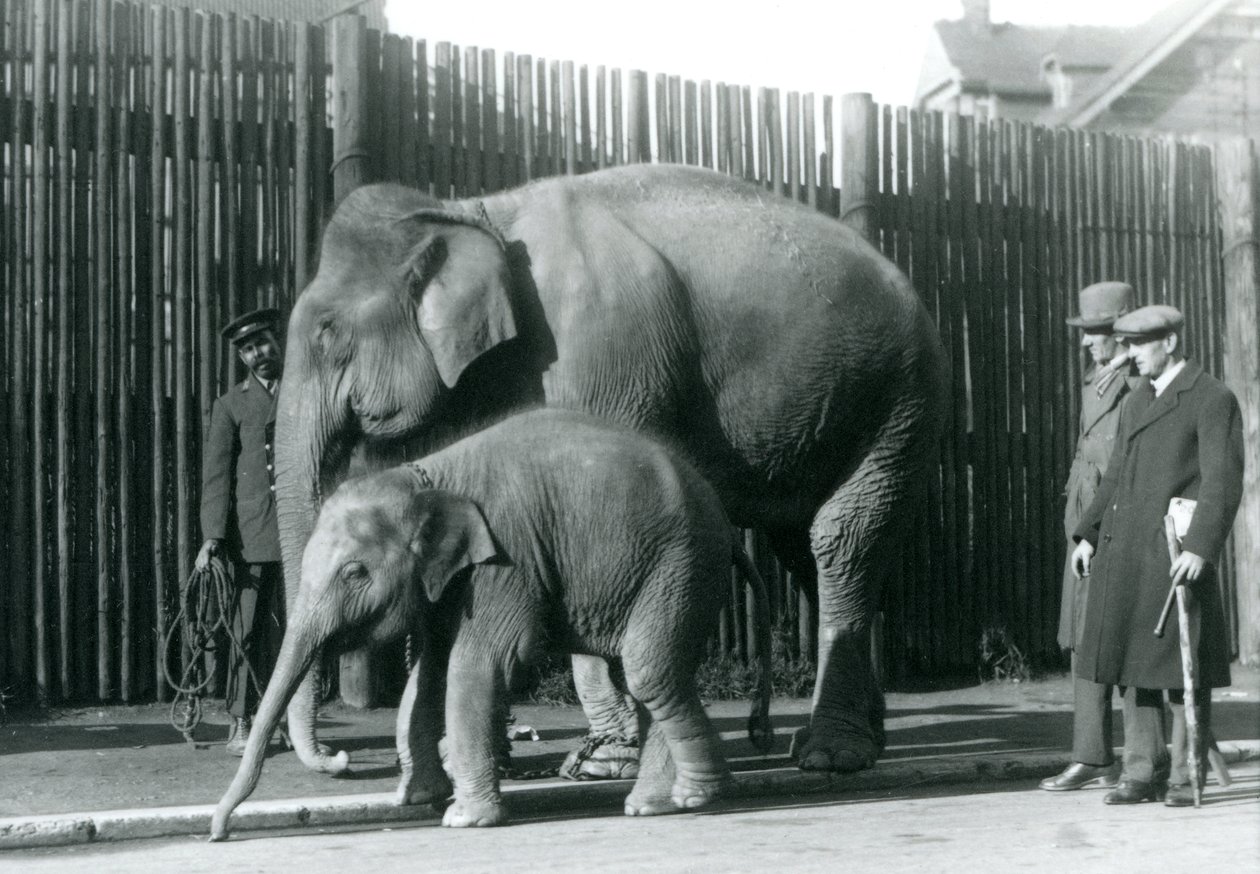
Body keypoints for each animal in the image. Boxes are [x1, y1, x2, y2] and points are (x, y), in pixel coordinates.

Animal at [210, 409, 774, 838]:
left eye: (354, 573)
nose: (219, 832)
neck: (428, 476)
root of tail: (726, 523)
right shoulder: (451, 579)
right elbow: (429, 673)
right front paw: (415, 799)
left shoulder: (507, 559)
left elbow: (475, 664)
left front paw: (463, 819)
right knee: (650, 676)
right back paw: (650, 806)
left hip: (680, 564)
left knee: (649, 670)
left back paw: (696, 797)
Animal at [275, 162, 946, 778]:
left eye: (329, 334)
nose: (339, 759)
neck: (474, 213)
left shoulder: (598, 348)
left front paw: (605, 760)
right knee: (805, 550)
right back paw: (858, 737)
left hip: (901, 398)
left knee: (840, 539)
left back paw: (831, 755)